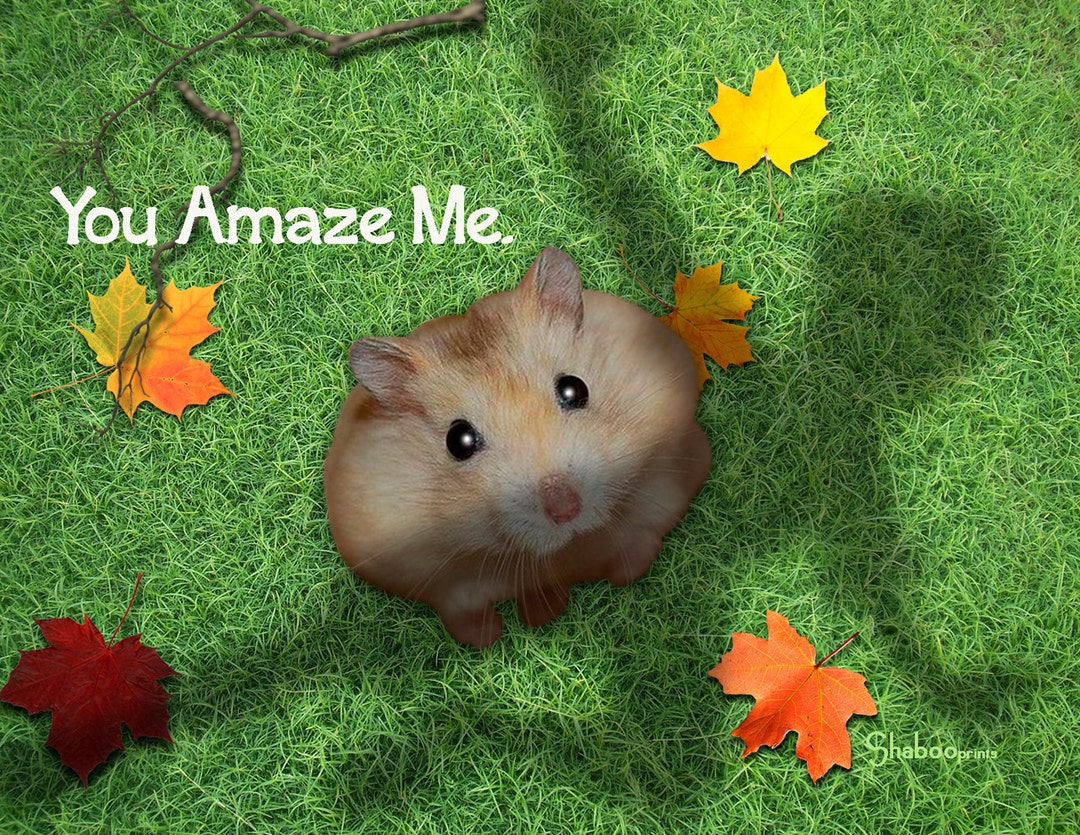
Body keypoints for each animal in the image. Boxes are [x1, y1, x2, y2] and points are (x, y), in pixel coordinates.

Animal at [324, 247, 711, 647]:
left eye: (574, 388)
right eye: (458, 441)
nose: (565, 509)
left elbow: (640, 540)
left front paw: (622, 577)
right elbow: (463, 614)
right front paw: (490, 638)